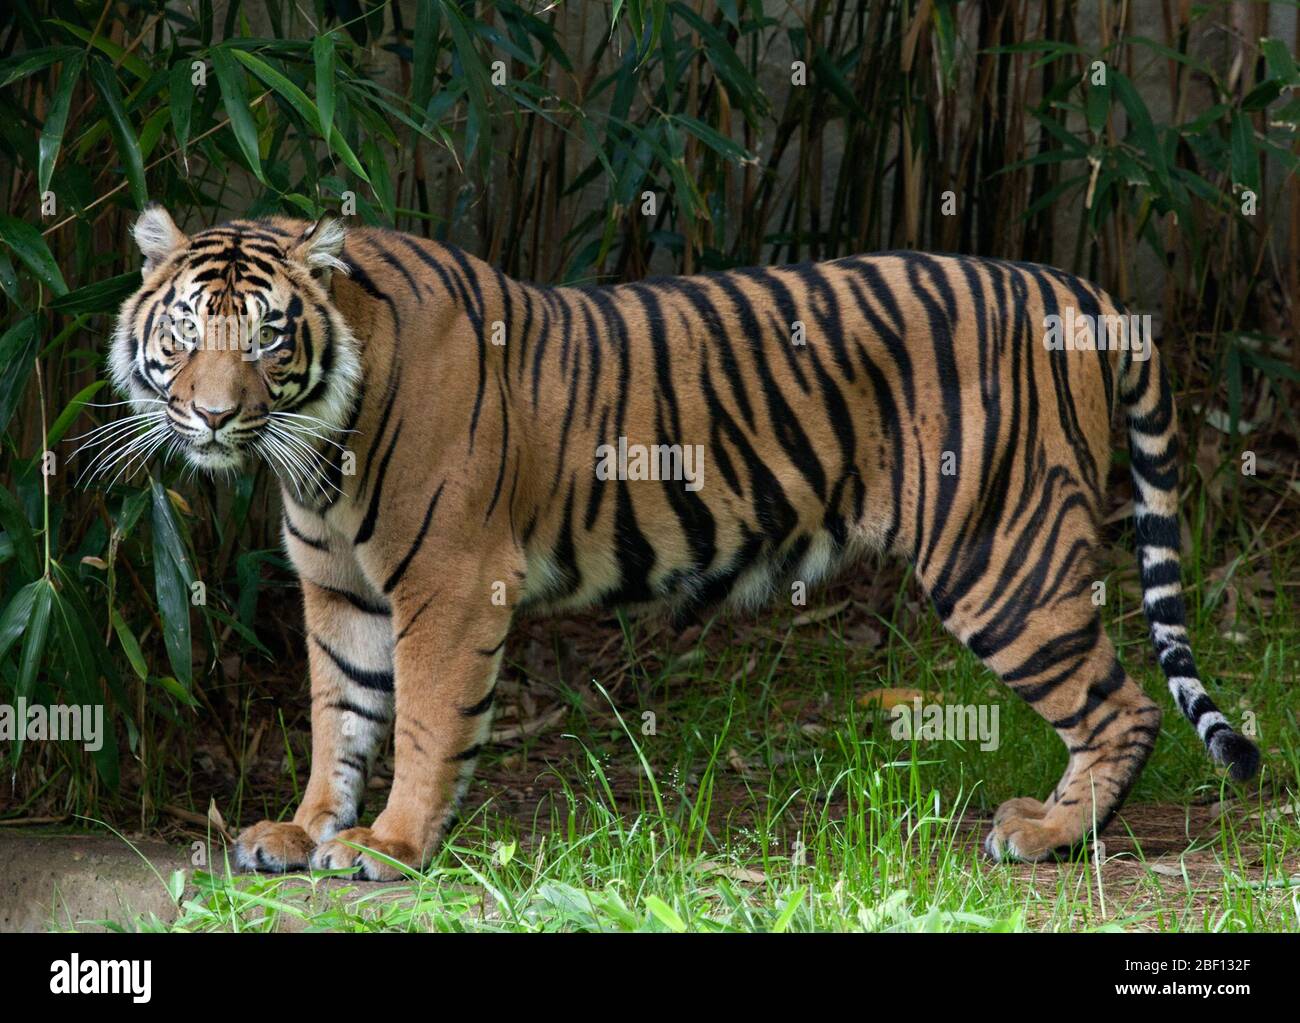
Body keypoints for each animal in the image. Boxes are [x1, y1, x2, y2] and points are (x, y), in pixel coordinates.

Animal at [107, 205, 1259, 880]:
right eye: (188, 329)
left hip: (1000, 552)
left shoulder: (447, 585)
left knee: (1119, 706)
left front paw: (387, 846)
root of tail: (1076, 287)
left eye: (268, 334)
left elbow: (427, 722)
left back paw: (1053, 836)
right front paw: (303, 832)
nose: (211, 415)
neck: (314, 444)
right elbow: (337, 719)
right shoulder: (339, 590)